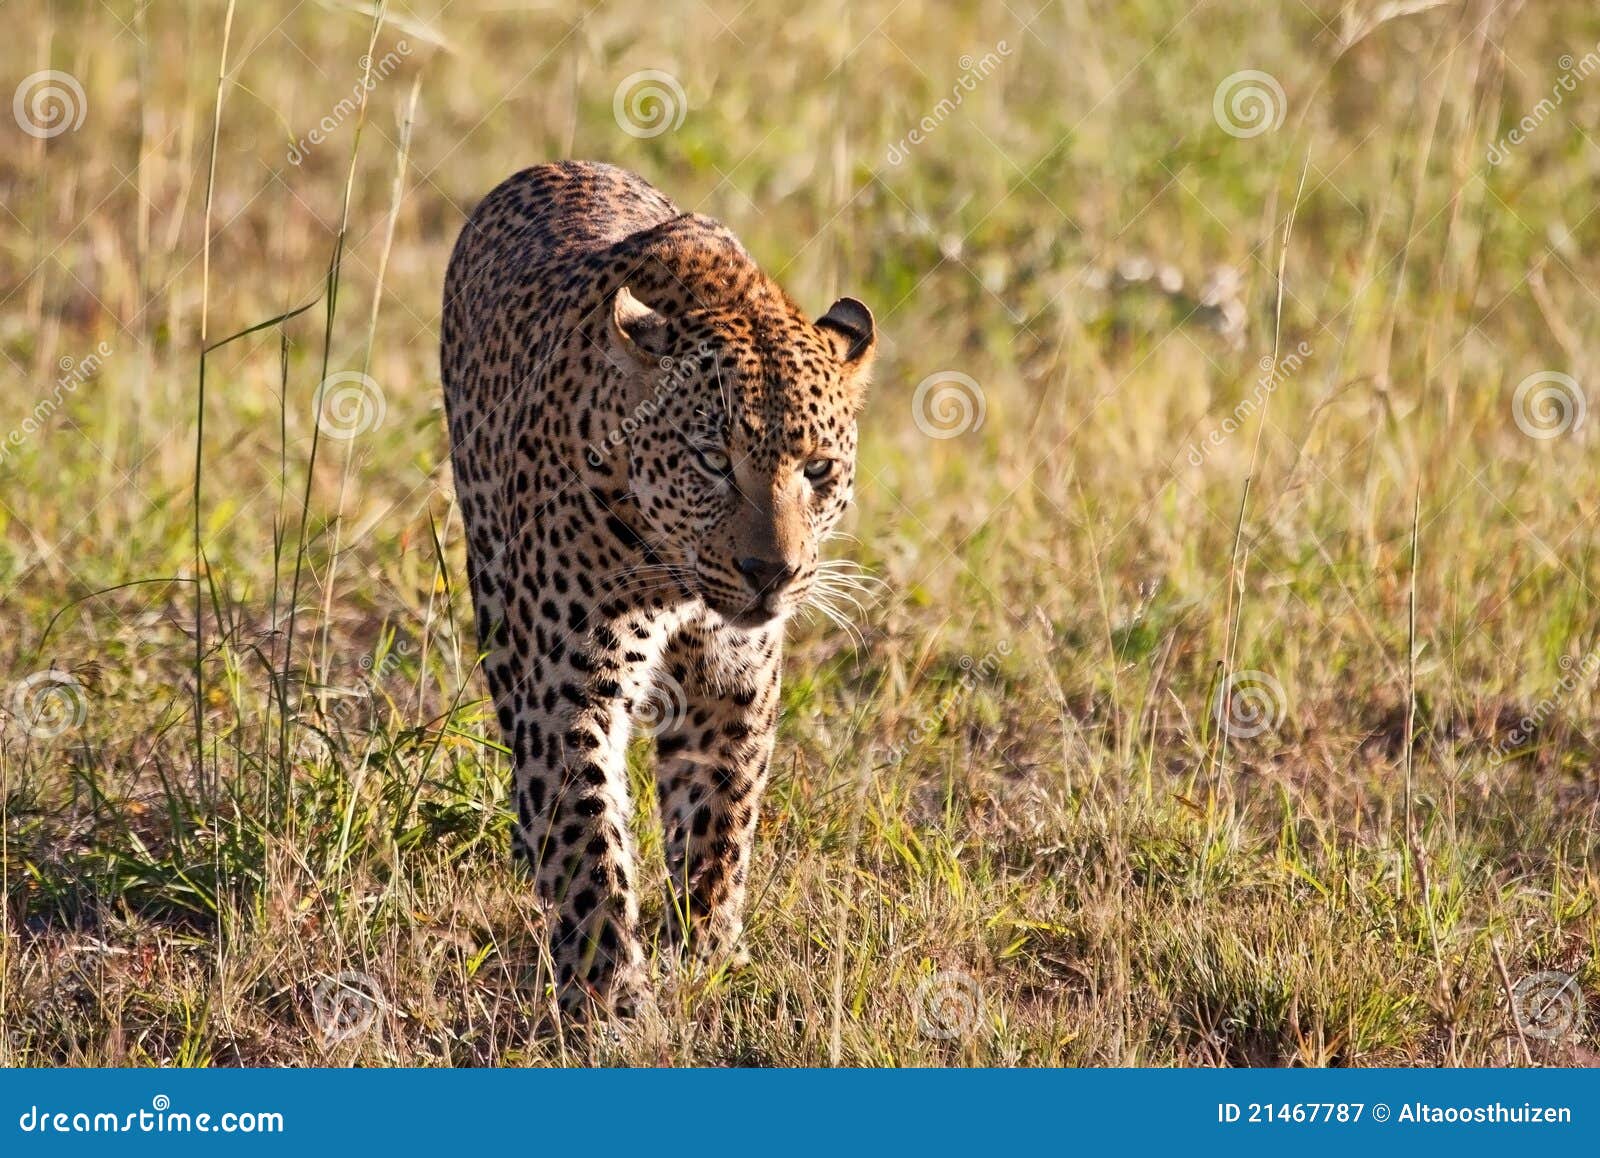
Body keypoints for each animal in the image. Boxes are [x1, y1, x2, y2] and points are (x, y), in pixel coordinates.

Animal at [439, 160, 876, 1017]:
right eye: (712, 462)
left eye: (818, 469)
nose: (772, 572)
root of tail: (554, 165)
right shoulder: (570, 684)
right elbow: (586, 835)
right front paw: (608, 996)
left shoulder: (733, 681)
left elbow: (719, 820)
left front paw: (708, 952)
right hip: (496, 591)